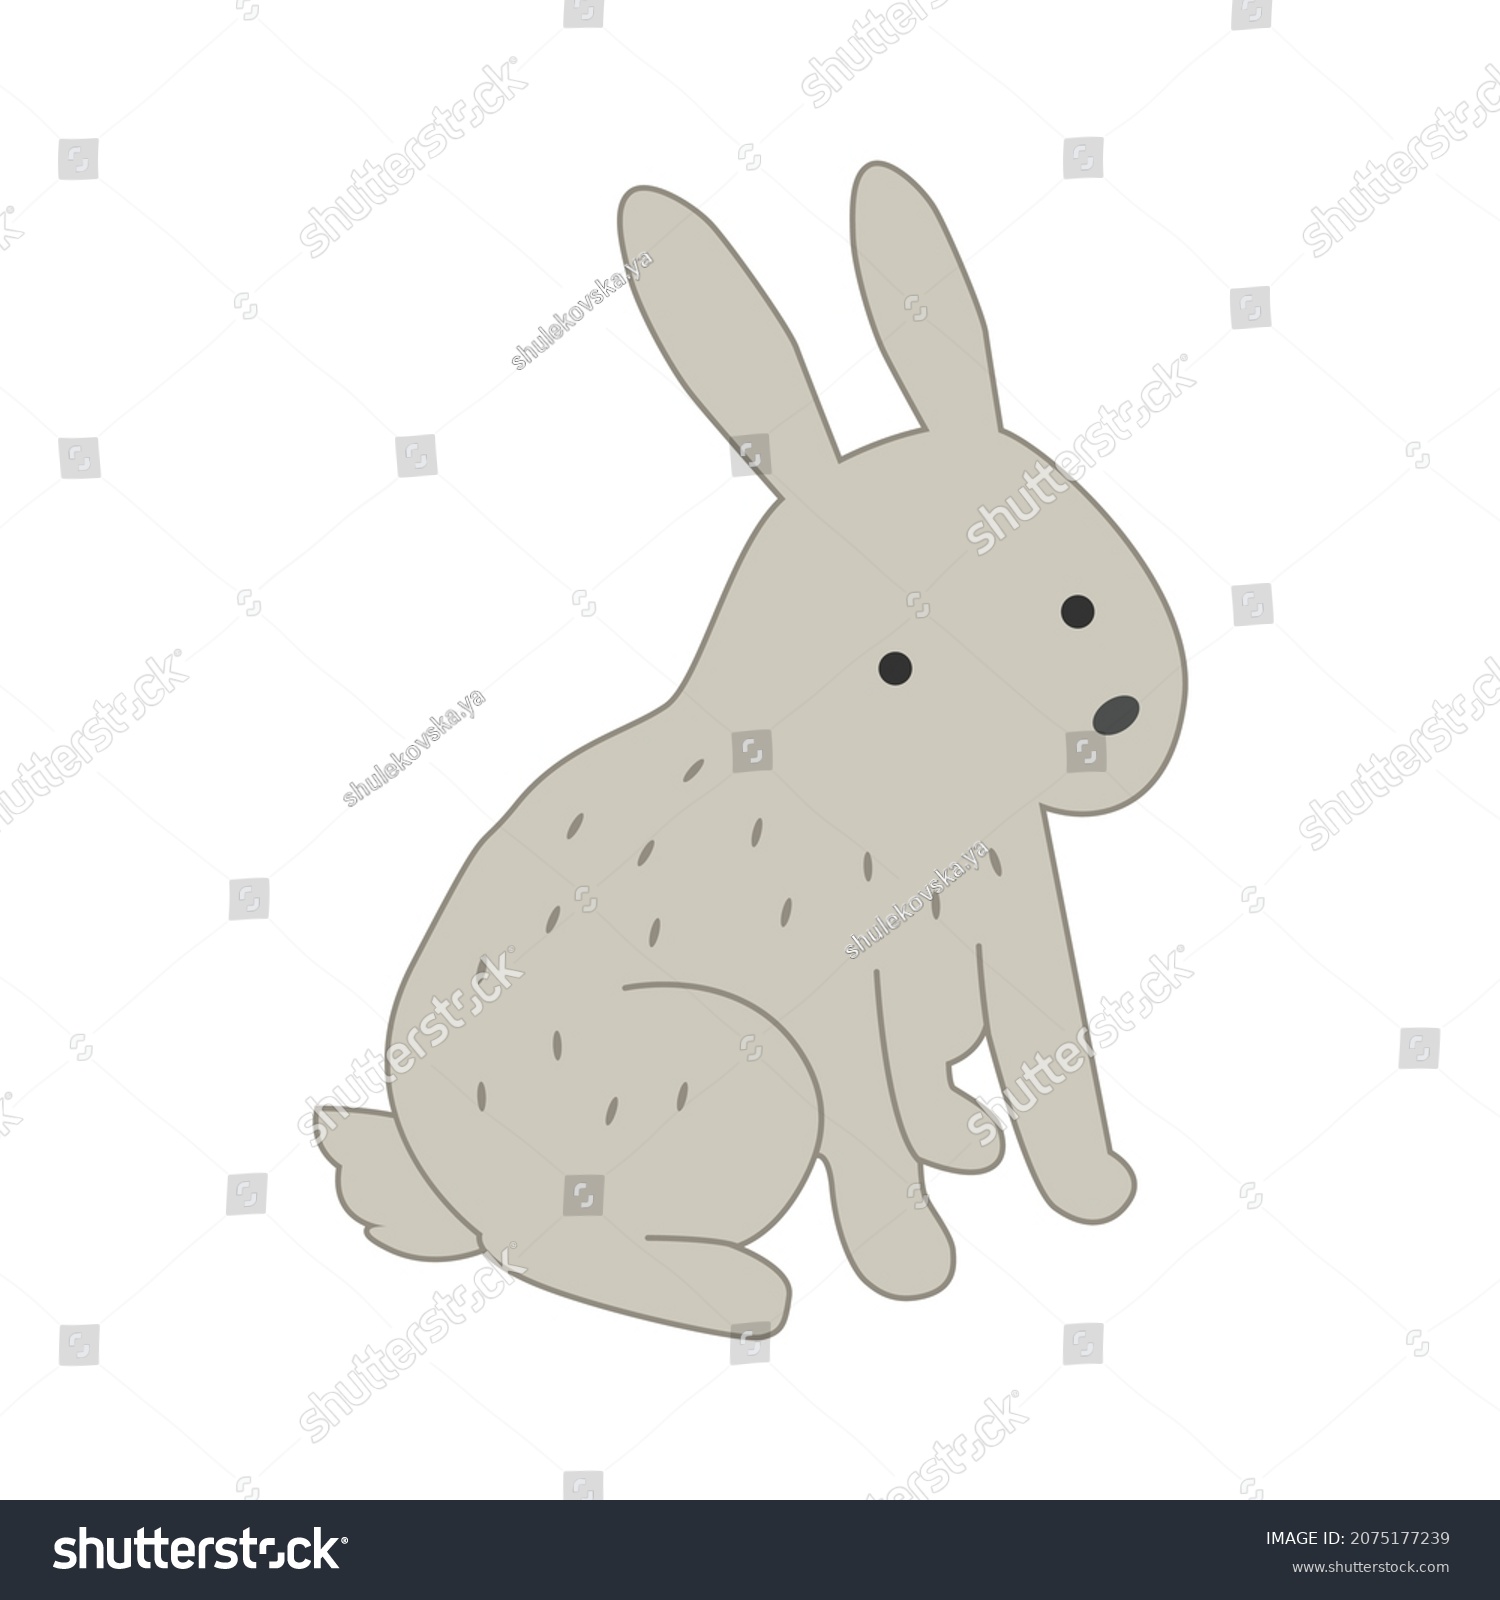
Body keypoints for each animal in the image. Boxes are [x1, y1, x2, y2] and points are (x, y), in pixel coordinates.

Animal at [316, 161, 1187, 1340]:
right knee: (559, 1245)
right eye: (893, 667)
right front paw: (911, 1271)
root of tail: (439, 1172)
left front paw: (1093, 1197)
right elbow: (875, 1144)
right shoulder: (828, 1000)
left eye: (1078, 603)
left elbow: (1055, 1078)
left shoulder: (1018, 935)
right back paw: (748, 1295)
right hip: (740, 1066)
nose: (1112, 720)